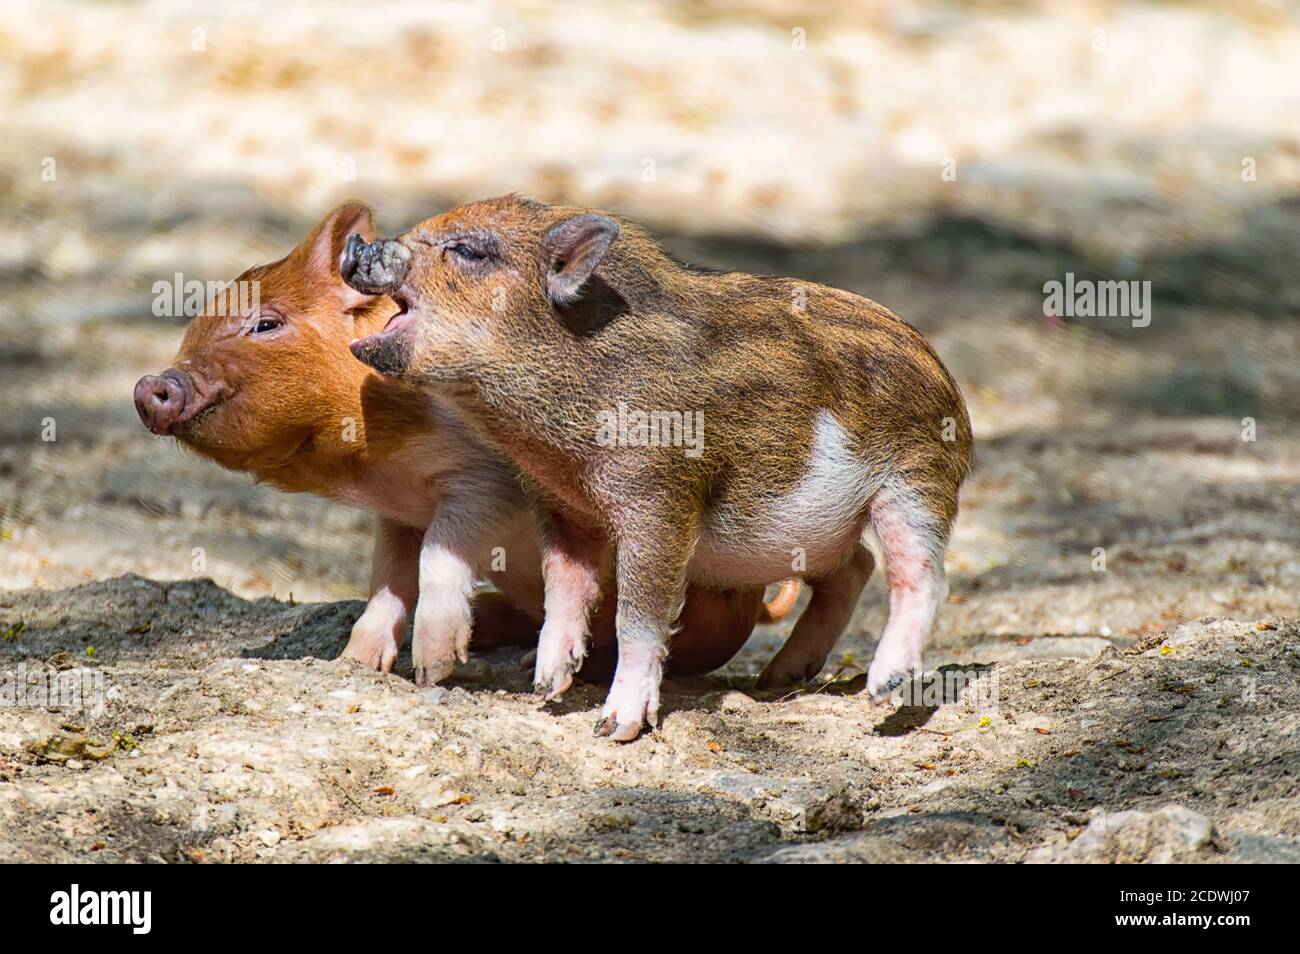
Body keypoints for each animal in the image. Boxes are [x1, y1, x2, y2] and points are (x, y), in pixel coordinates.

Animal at [133, 202, 798, 686]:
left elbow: (438, 557)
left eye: (267, 324)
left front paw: (433, 671)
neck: (374, 466)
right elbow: (388, 581)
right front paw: (353, 664)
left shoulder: (483, 483)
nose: (148, 385)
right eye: (196, 325)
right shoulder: (396, 516)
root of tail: (754, 603)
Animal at [340, 194, 974, 740]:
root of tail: (945, 376)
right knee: (856, 568)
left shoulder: (660, 500)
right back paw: (776, 680)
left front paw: (612, 729)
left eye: (470, 251)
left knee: (921, 575)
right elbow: (563, 584)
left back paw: (881, 690)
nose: (355, 245)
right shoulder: (562, 507)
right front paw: (545, 684)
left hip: (918, 482)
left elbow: (636, 615)